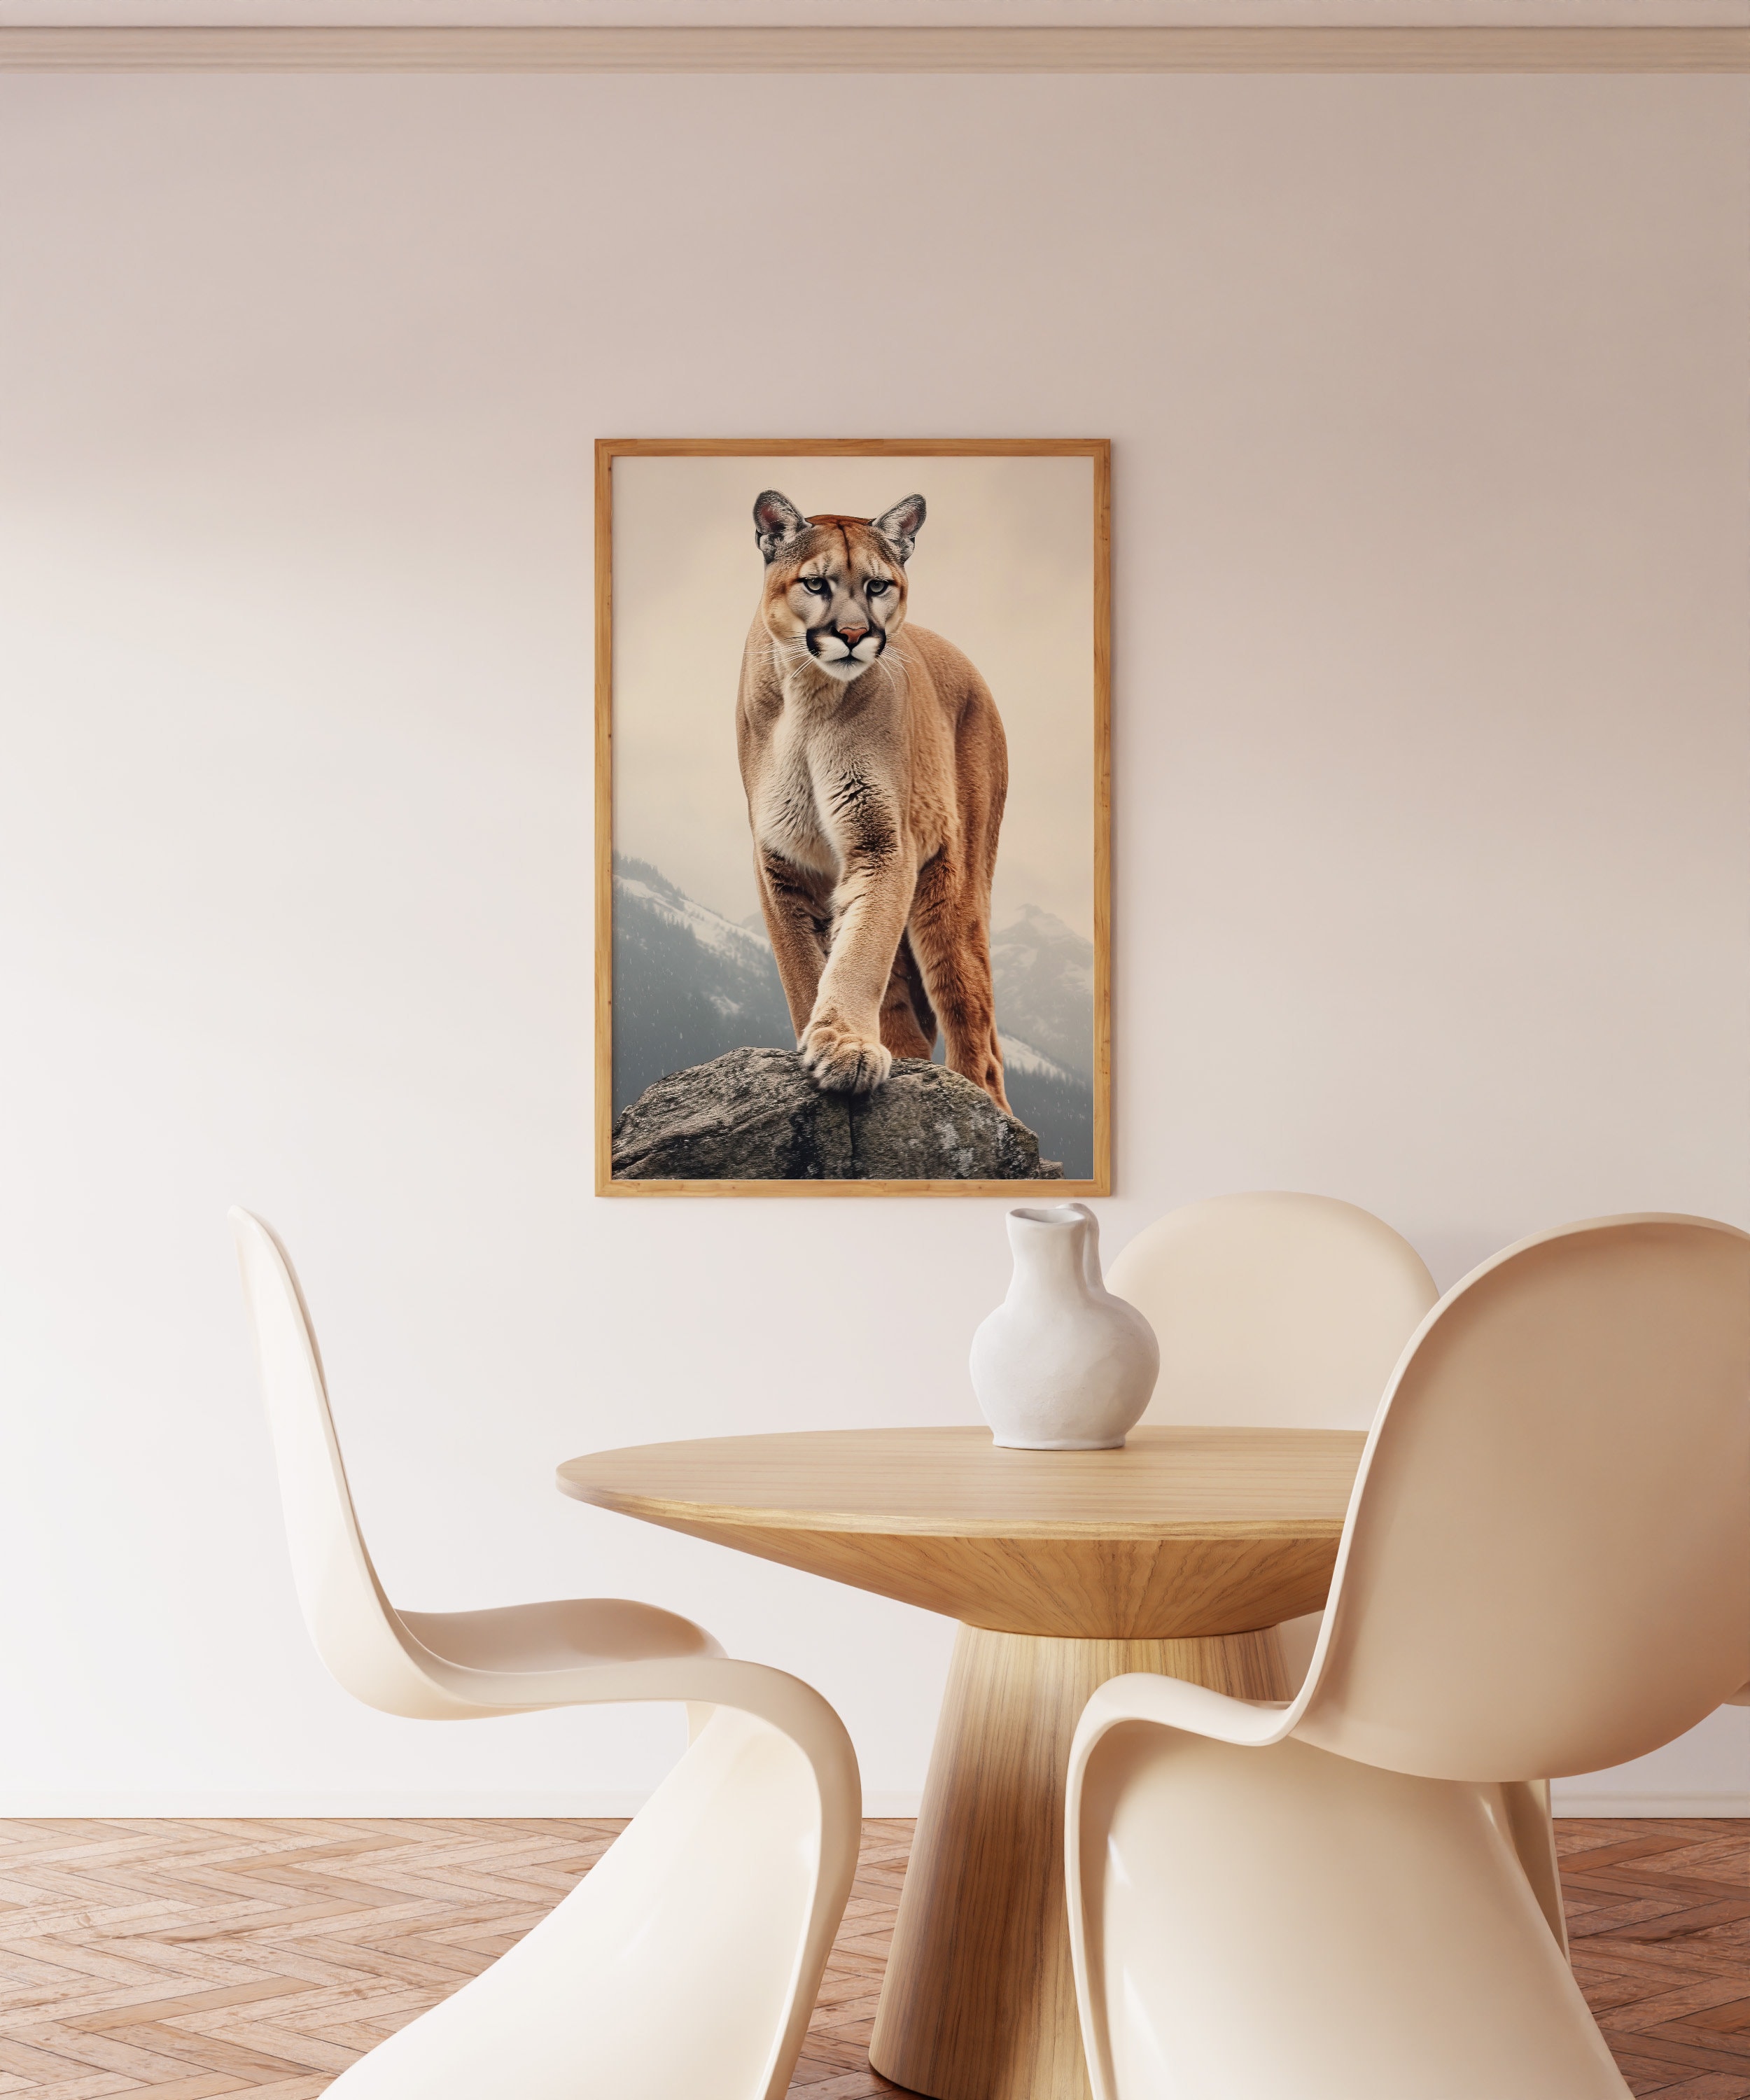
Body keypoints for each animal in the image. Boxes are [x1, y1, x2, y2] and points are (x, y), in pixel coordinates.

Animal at [735, 488, 1011, 1110]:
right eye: (816, 583)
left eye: (878, 585)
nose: (854, 634)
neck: (809, 699)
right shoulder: (781, 860)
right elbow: (805, 970)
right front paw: (829, 1044)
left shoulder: (883, 842)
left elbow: (860, 953)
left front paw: (843, 1045)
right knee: (909, 1023)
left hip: (952, 898)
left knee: (977, 1042)